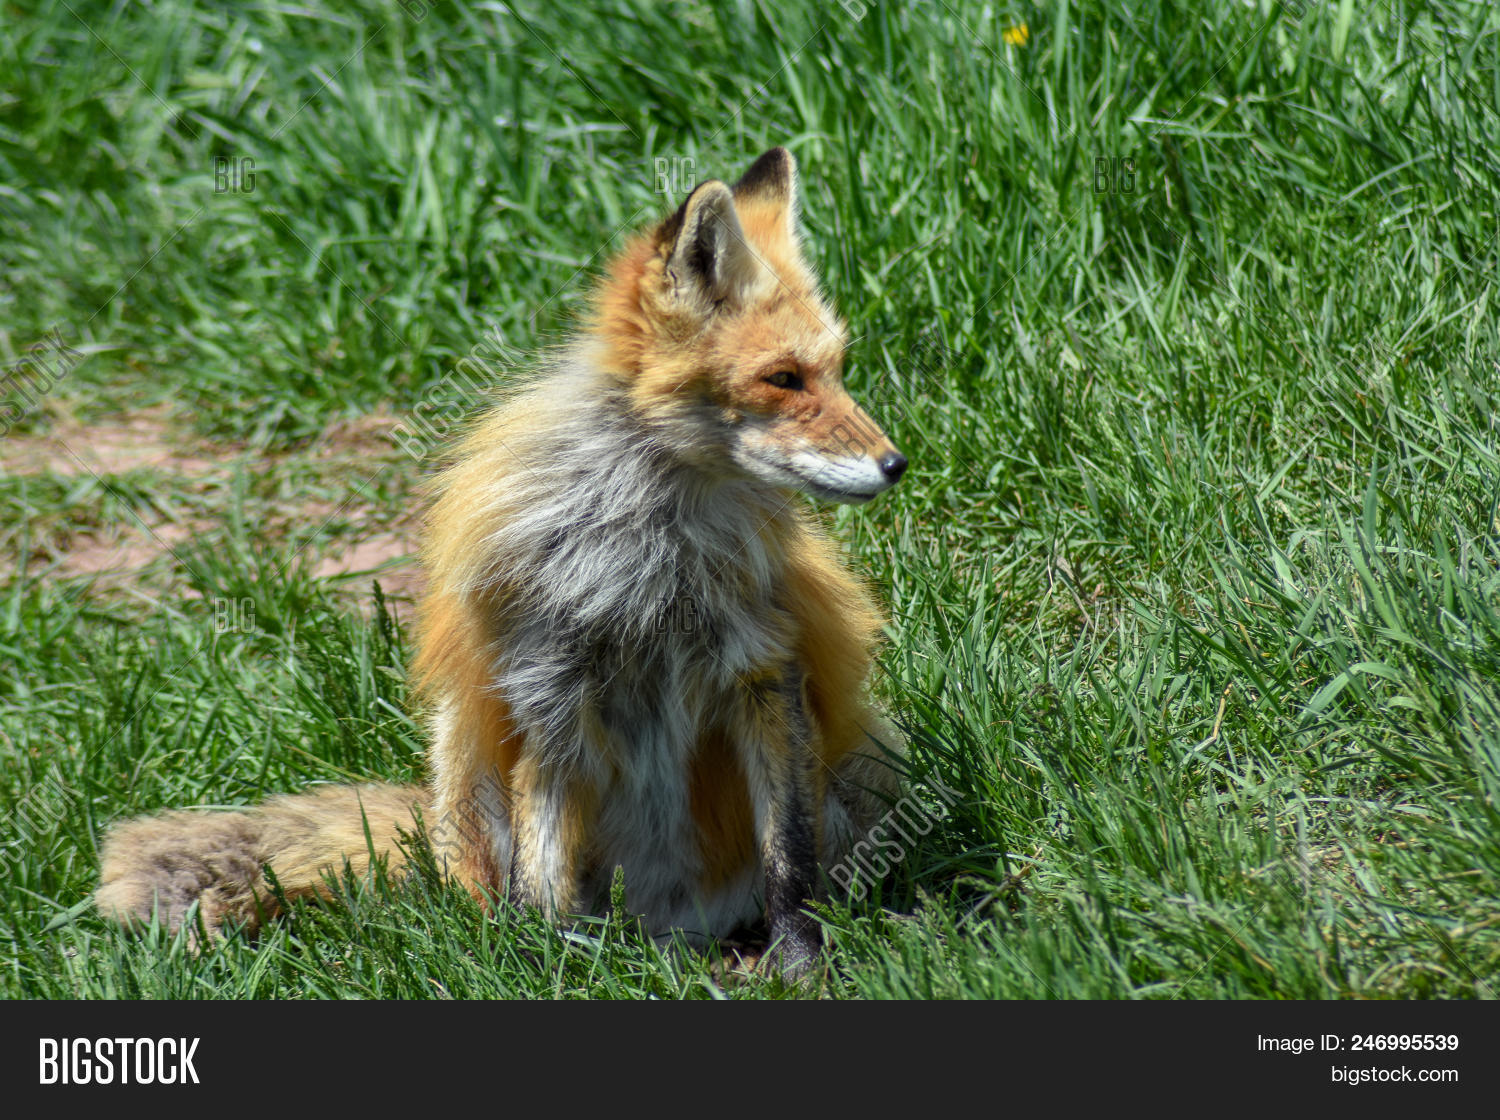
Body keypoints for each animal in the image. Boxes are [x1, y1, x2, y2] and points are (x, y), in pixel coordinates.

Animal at [95, 147, 909, 973]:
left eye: (837, 370)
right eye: (783, 379)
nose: (896, 464)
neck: (648, 563)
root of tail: (672, 932)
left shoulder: (765, 670)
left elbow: (790, 859)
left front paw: (802, 961)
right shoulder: (547, 691)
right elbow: (541, 875)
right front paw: (547, 968)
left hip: (862, 765)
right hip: (463, 751)